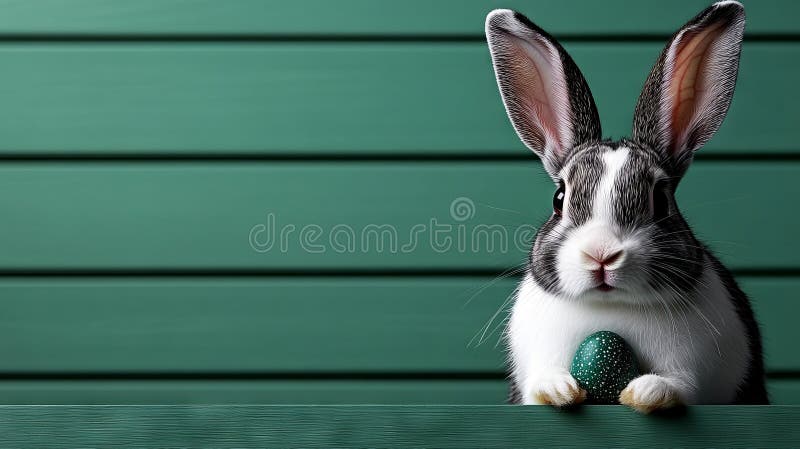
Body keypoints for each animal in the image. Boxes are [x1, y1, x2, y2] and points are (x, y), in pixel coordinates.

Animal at [485, 1, 768, 412]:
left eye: (660, 200)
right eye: (559, 198)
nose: (600, 255)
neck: (612, 308)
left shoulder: (698, 367)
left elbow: (680, 384)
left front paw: (647, 393)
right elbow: (541, 381)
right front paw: (558, 389)